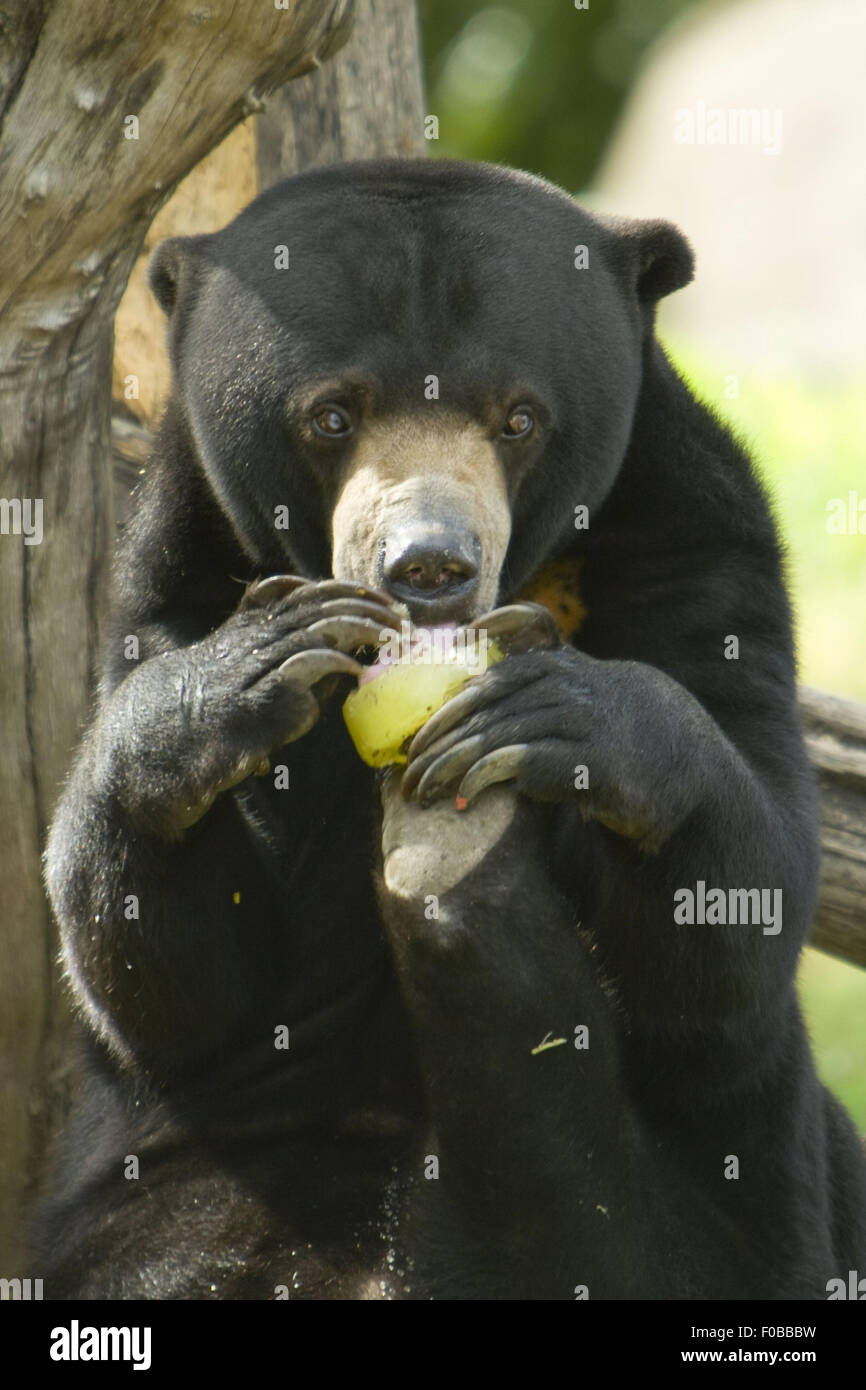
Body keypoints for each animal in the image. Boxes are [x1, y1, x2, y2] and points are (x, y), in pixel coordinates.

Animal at [37, 158, 866, 1300]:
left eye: (517, 419)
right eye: (331, 415)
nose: (429, 566)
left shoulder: (700, 554)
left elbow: (737, 921)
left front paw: (555, 713)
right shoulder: (173, 574)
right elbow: (173, 978)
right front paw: (251, 665)